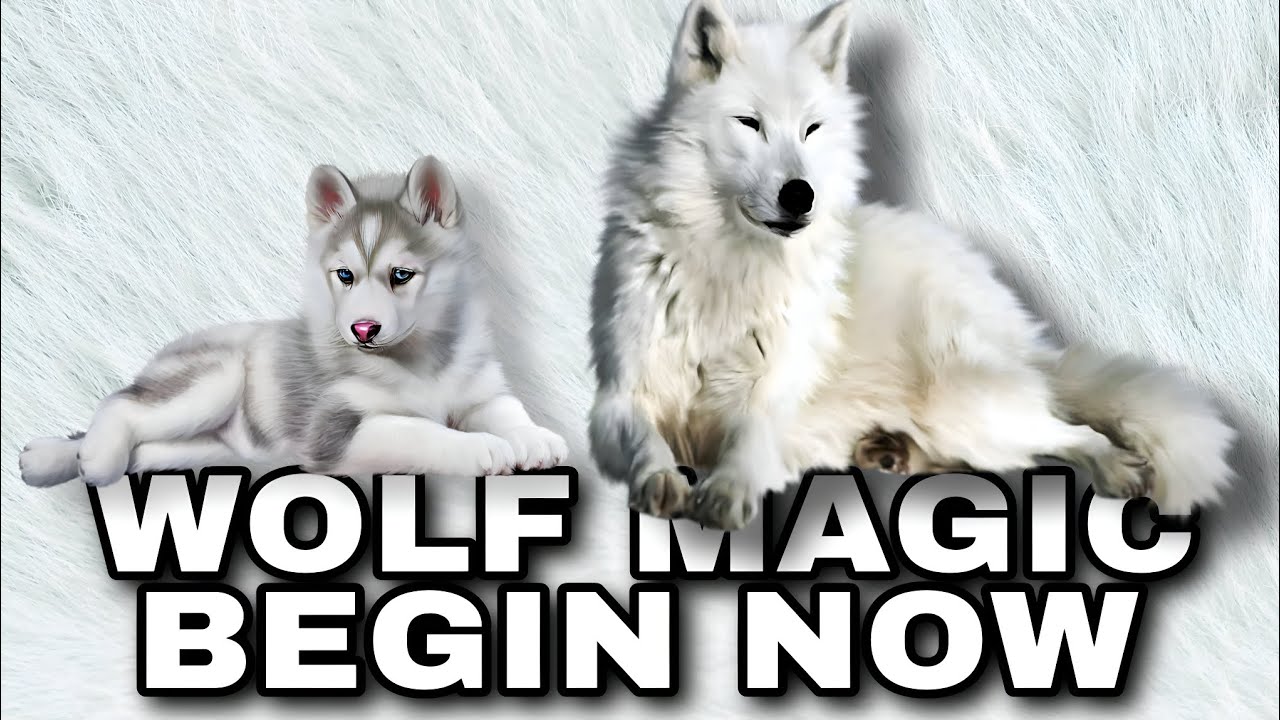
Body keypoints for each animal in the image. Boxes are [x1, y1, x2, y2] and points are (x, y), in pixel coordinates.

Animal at [20, 156, 567, 487]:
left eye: (401, 275)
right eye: (344, 275)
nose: (362, 330)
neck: (420, 361)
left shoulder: (479, 390)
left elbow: (507, 408)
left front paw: (535, 437)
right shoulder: (336, 432)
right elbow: (418, 431)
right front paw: (483, 448)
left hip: (206, 447)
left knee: (147, 449)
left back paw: (53, 458)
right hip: (212, 381)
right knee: (120, 403)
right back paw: (92, 457)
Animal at [588, 0, 1235, 530]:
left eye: (811, 129)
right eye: (749, 123)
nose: (801, 195)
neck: (729, 268)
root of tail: (1022, 327)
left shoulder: (771, 396)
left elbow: (748, 439)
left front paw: (726, 491)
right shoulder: (618, 399)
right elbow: (644, 439)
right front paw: (661, 478)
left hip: (968, 402)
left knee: (1068, 433)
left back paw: (1118, 467)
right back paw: (887, 451)